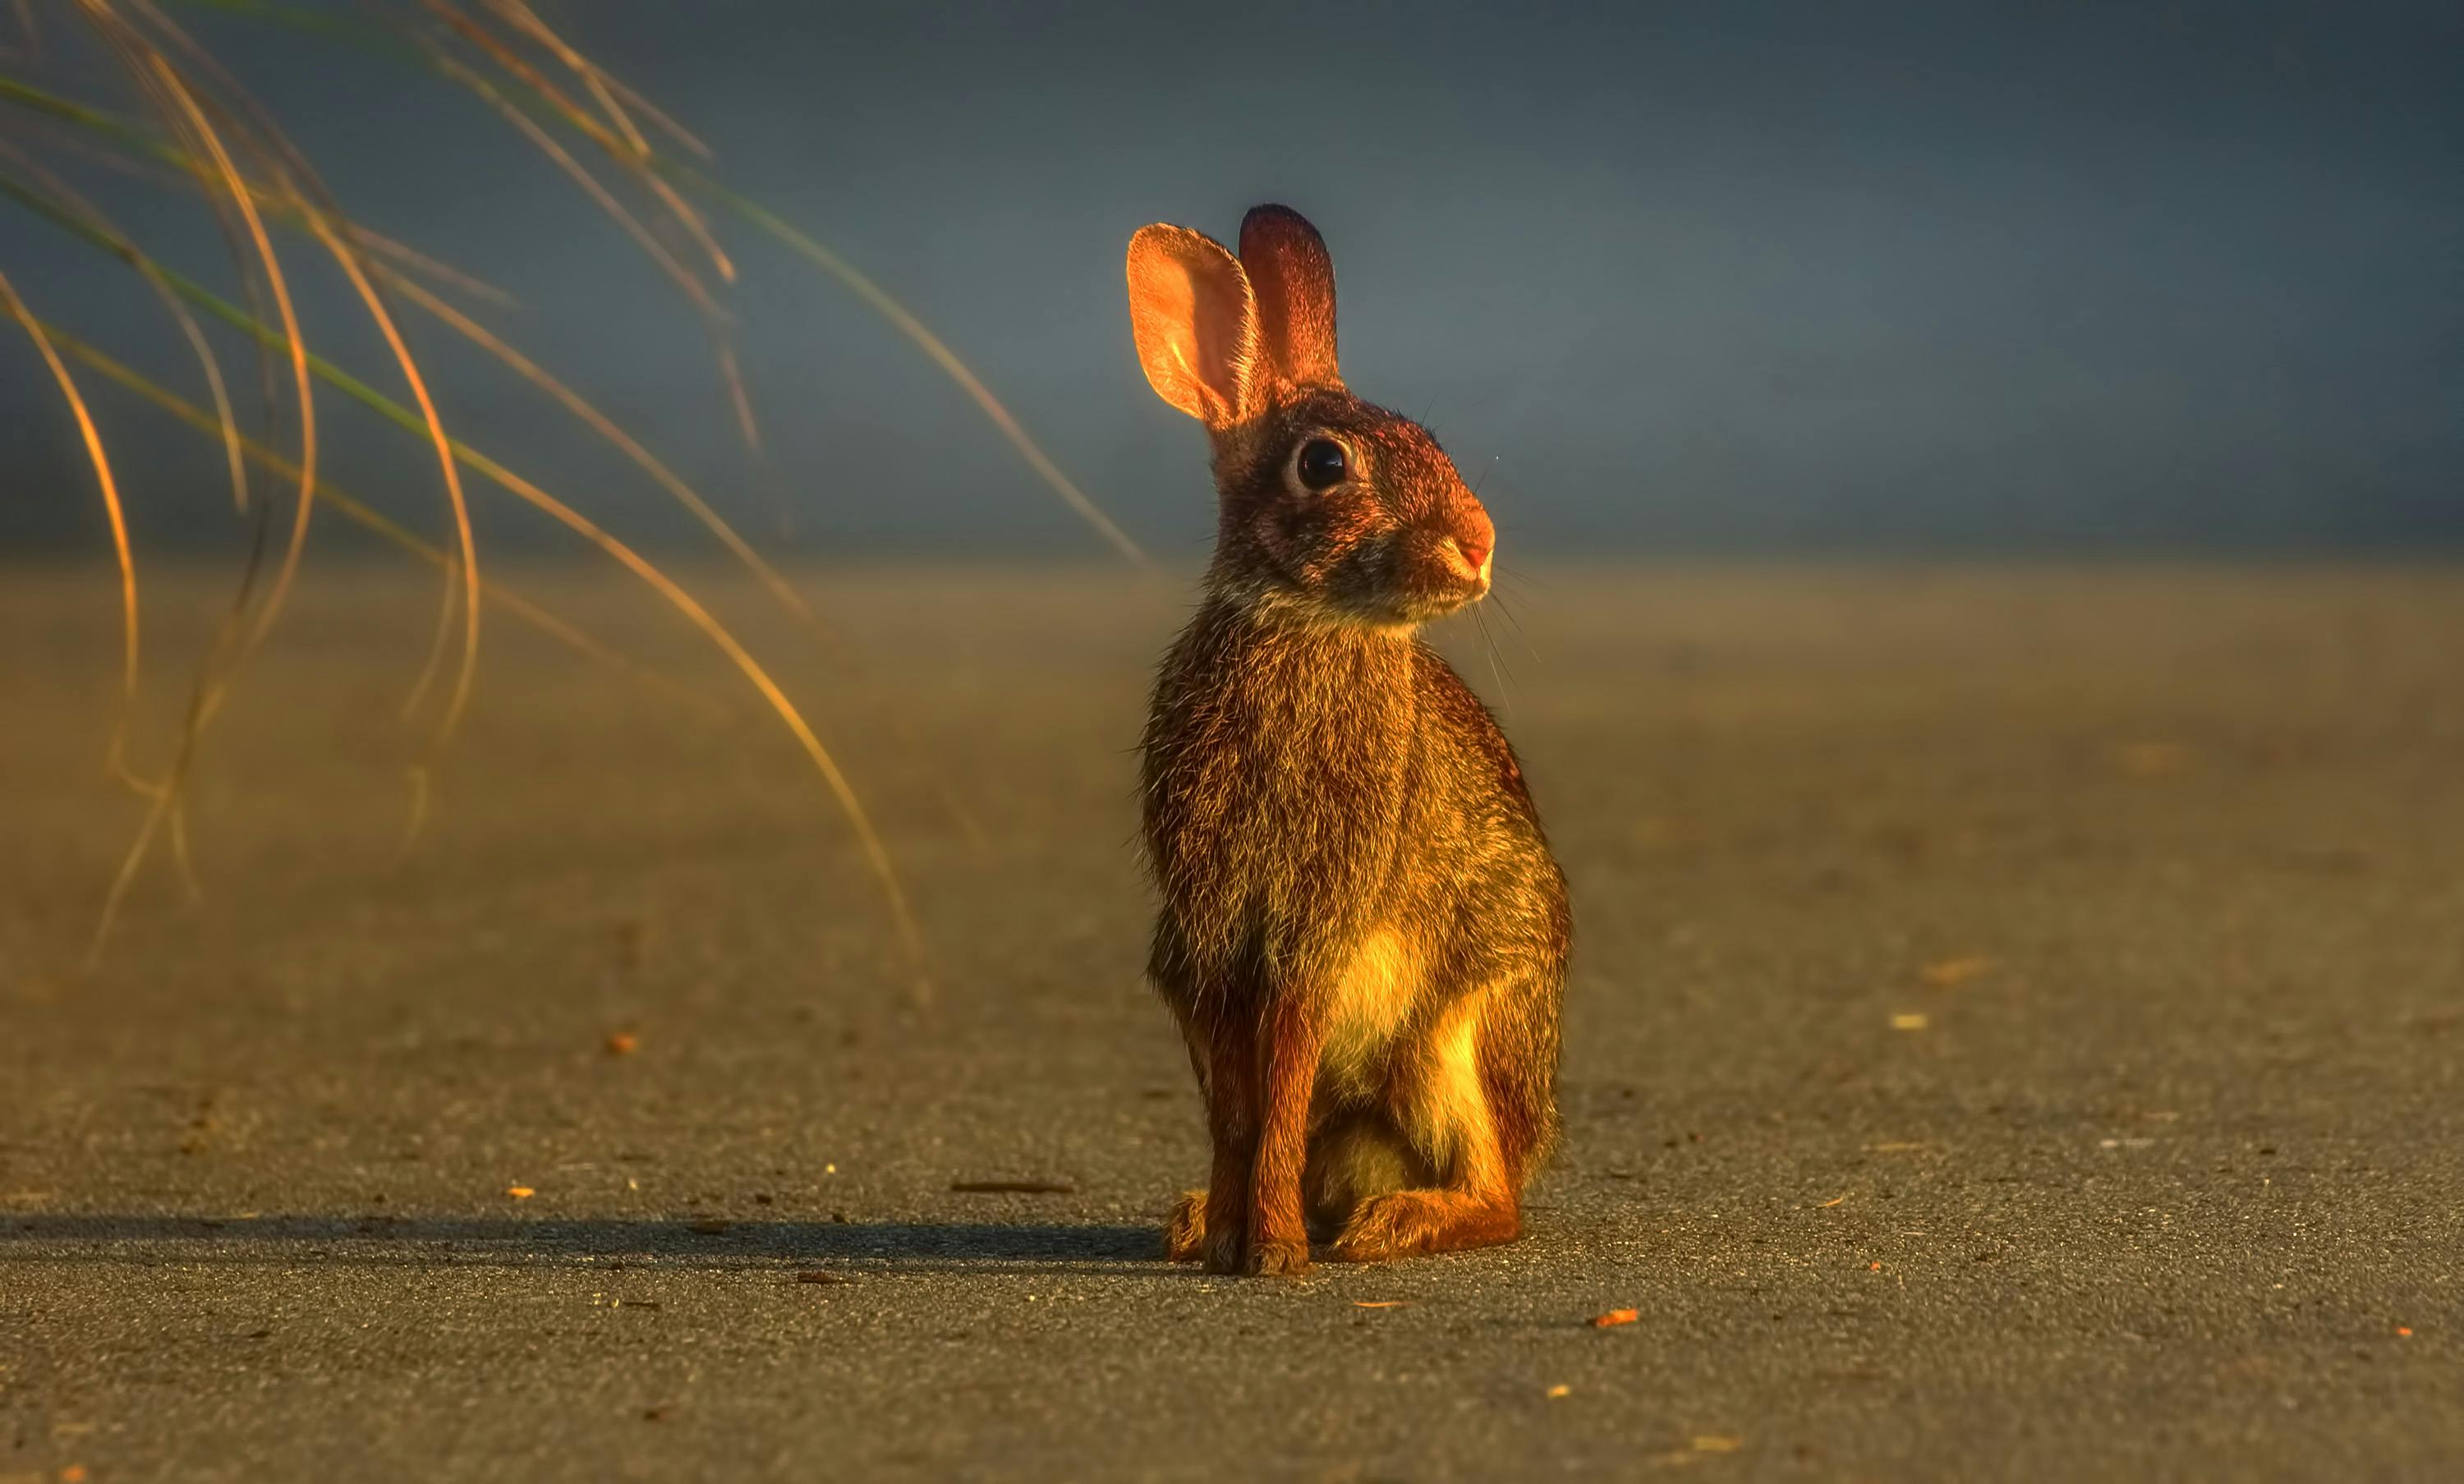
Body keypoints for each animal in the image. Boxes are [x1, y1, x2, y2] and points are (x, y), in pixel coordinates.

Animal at [1125, 204, 1570, 1276]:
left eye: (1431, 438)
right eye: (1325, 464)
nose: (1479, 543)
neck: (1308, 623)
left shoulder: (1314, 930)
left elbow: (1277, 1094)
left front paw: (1272, 1252)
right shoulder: (1204, 945)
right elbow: (1242, 1111)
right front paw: (1236, 1239)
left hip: (1455, 1038)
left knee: (1498, 1196)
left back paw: (1395, 1222)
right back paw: (1209, 1219)